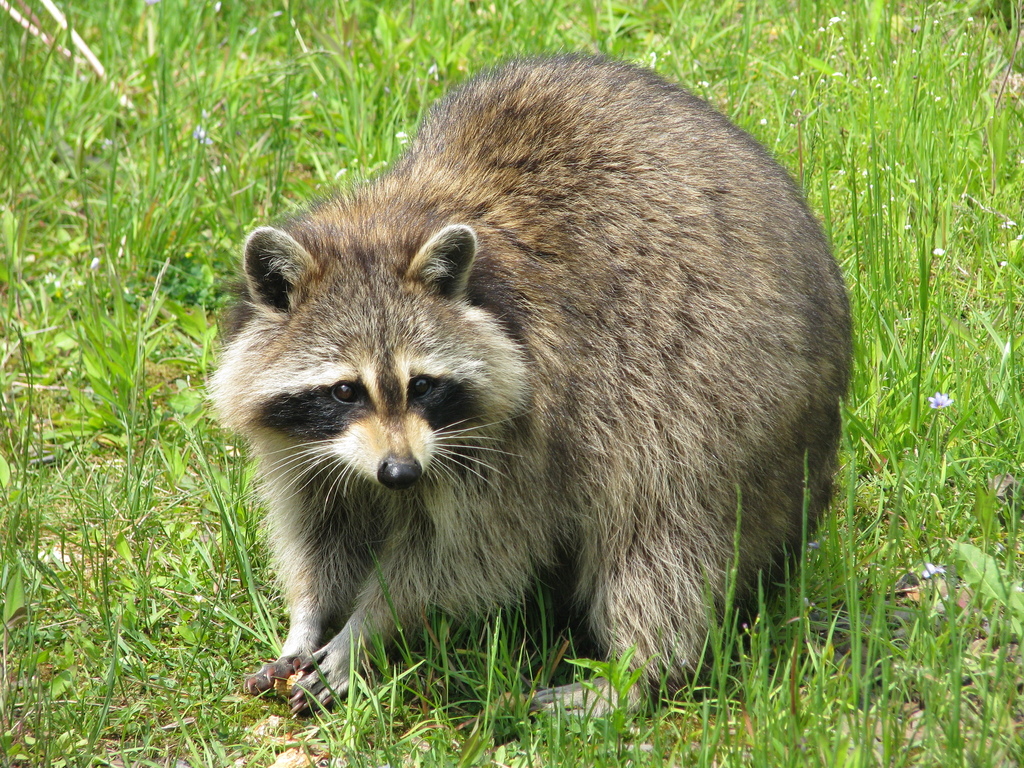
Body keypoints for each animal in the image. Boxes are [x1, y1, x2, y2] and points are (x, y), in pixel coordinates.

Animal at [210, 54, 852, 716]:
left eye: (422, 385)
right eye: (345, 391)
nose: (401, 473)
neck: (390, 219)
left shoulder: (524, 442)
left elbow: (462, 559)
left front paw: (366, 629)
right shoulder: (305, 450)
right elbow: (321, 529)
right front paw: (308, 618)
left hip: (721, 402)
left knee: (660, 536)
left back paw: (636, 673)